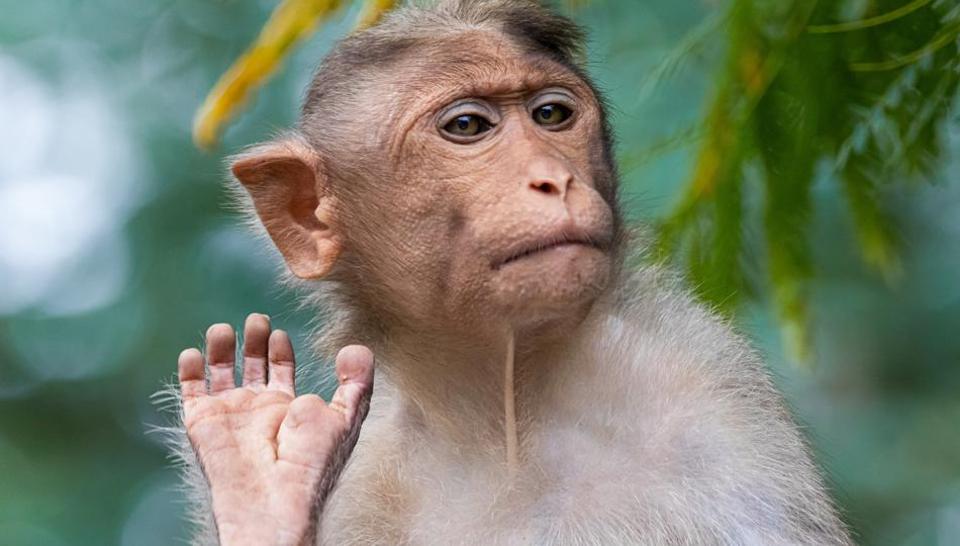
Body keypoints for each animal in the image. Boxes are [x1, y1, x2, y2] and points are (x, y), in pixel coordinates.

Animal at [165, 1, 852, 544]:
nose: (555, 178)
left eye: (551, 116)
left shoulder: (710, 405)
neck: (502, 413)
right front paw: (260, 479)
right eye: (468, 126)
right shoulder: (364, 476)